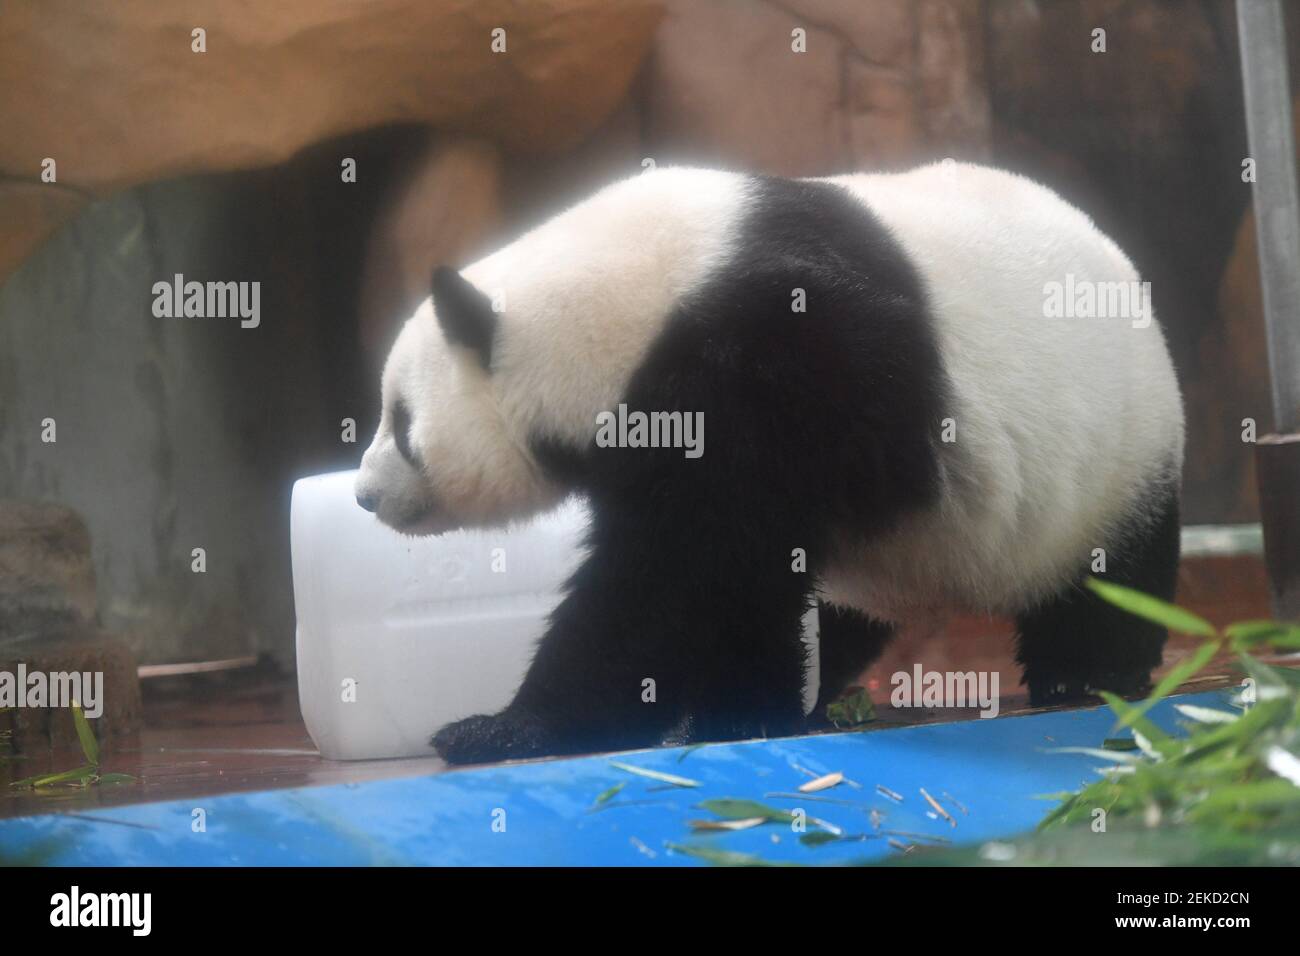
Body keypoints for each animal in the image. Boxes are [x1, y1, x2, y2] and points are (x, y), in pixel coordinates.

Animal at [354, 162, 1185, 765]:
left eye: (402, 423)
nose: (364, 496)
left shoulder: (769, 367)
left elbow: (679, 575)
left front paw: (506, 726)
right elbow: (735, 575)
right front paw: (745, 709)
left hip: (1117, 455)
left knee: (1112, 573)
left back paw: (1089, 671)